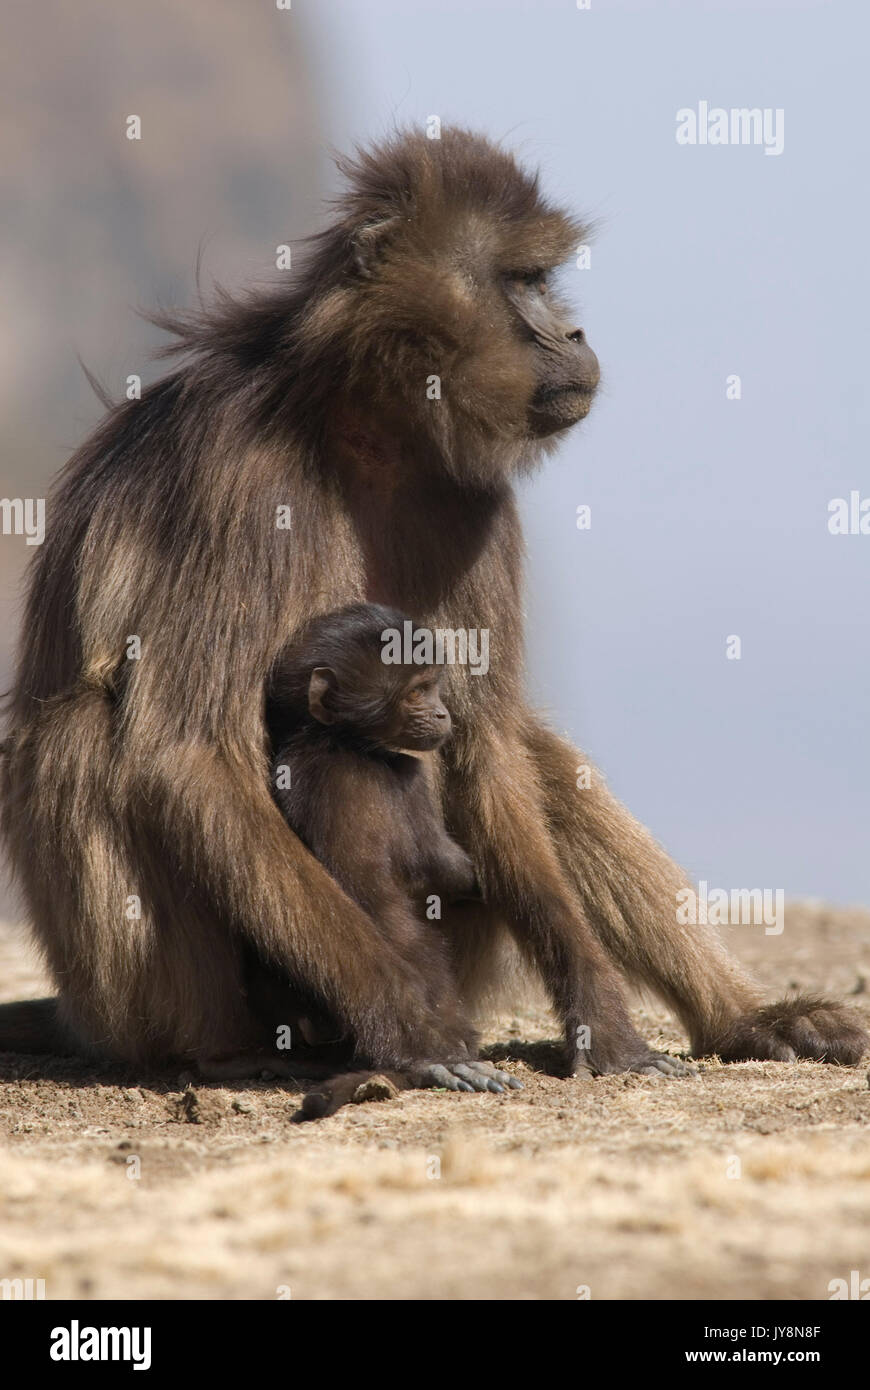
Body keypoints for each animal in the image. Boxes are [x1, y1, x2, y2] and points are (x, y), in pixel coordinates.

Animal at [0, 127, 864, 1114]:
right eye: (525, 279)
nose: (576, 333)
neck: (359, 424)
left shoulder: (474, 502)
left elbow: (487, 744)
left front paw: (604, 1019)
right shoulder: (228, 471)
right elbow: (187, 751)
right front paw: (409, 1035)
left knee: (532, 752)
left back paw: (745, 1021)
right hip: (147, 998)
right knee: (85, 735)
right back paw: (225, 1056)